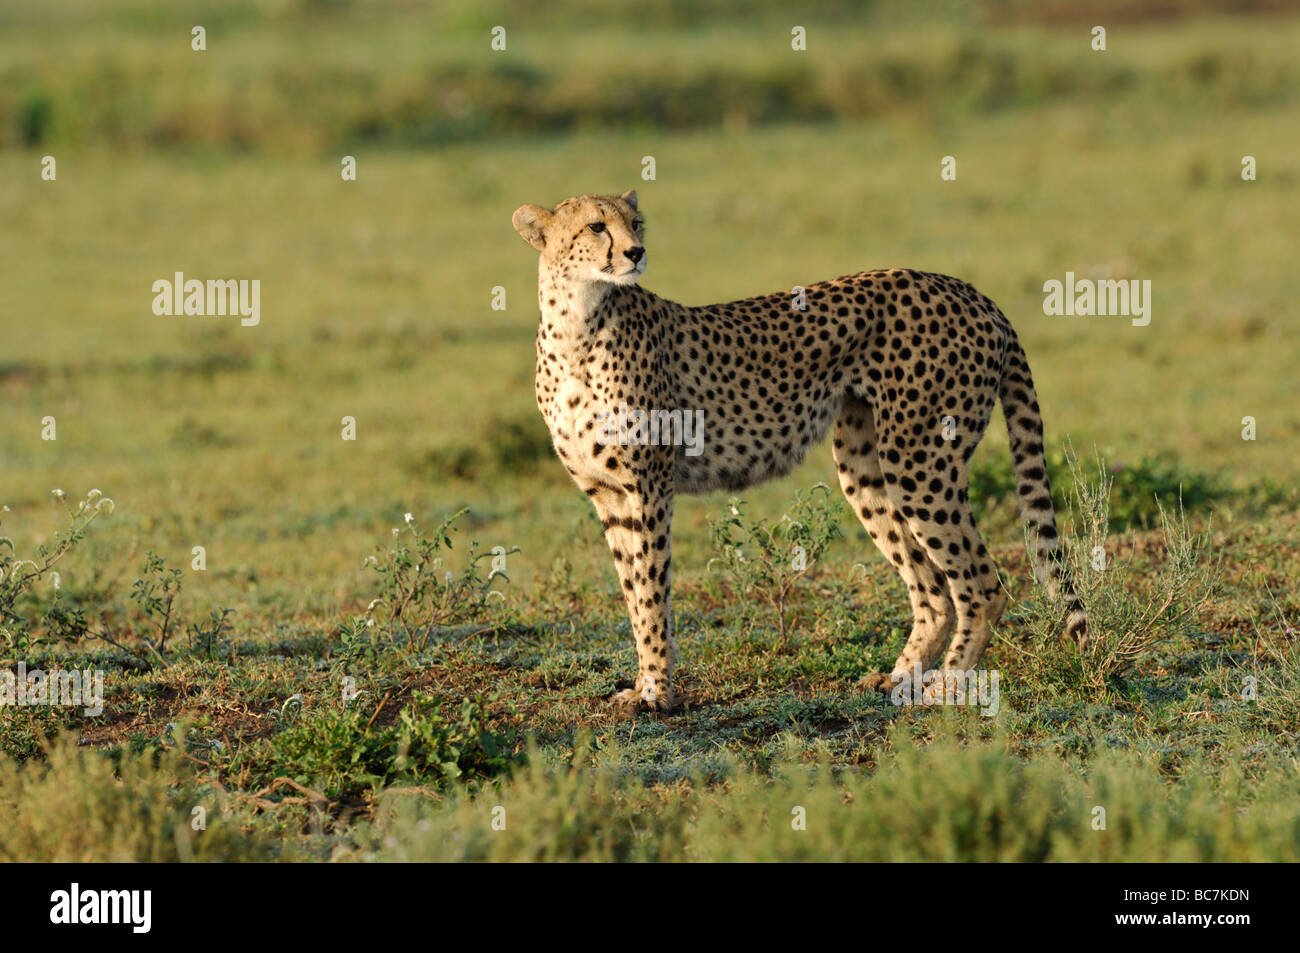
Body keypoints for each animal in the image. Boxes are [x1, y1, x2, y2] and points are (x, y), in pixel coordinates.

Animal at [512, 189, 1088, 713]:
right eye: (595, 227)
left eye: (635, 223)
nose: (636, 252)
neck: (576, 323)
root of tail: (968, 290)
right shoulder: (608, 495)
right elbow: (634, 593)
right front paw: (646, 683)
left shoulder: (649, 487)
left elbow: (652, 594)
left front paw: (656, 692)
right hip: (865, 465)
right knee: (933, 590)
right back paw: (898, 679)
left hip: (919, 458)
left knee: (983, 584)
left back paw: (946, 686)